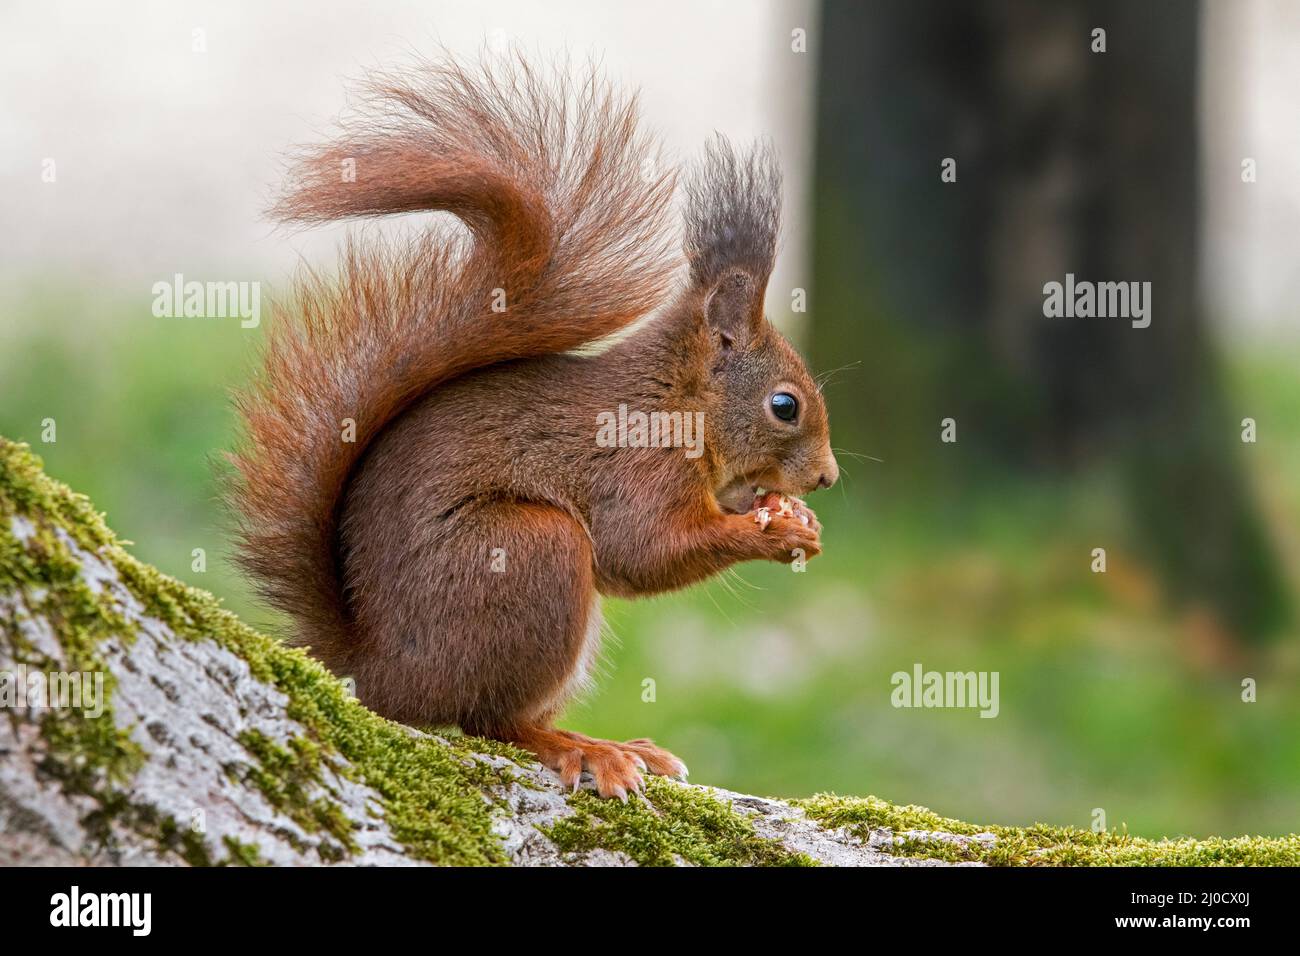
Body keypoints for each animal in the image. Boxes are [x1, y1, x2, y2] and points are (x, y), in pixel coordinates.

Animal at [228, 57, 838, 800]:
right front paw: (772, 533)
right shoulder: (634, 466)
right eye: (785, 406)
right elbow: (645, 551)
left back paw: (623, 744)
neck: (676, 404)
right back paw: (584, 748)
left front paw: (797, 518)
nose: (828, 477)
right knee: (492, 720)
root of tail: (374, 669)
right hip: (530, 552)